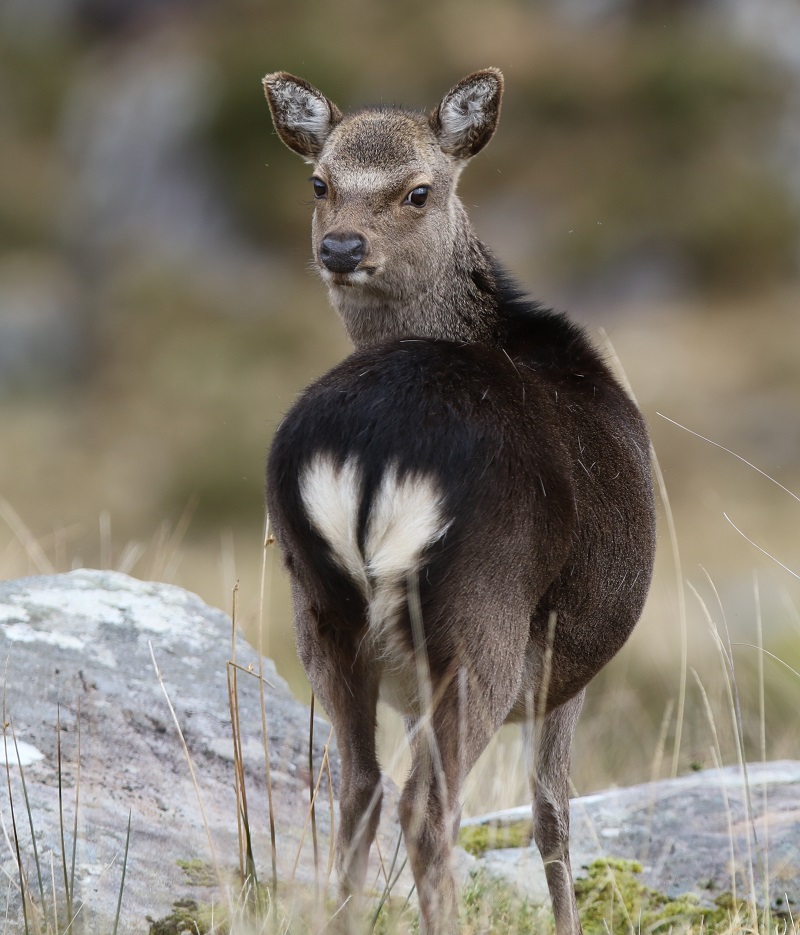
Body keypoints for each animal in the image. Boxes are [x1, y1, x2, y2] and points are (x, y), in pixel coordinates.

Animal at [262, 68, 656, 935]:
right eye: (320, 182)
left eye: (419, 189)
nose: (341, 248)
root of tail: (371, 453)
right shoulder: (568, 662)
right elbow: (552, 815)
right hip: (483, 618)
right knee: (427, 807)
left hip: (320, 610)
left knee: (357, 789)